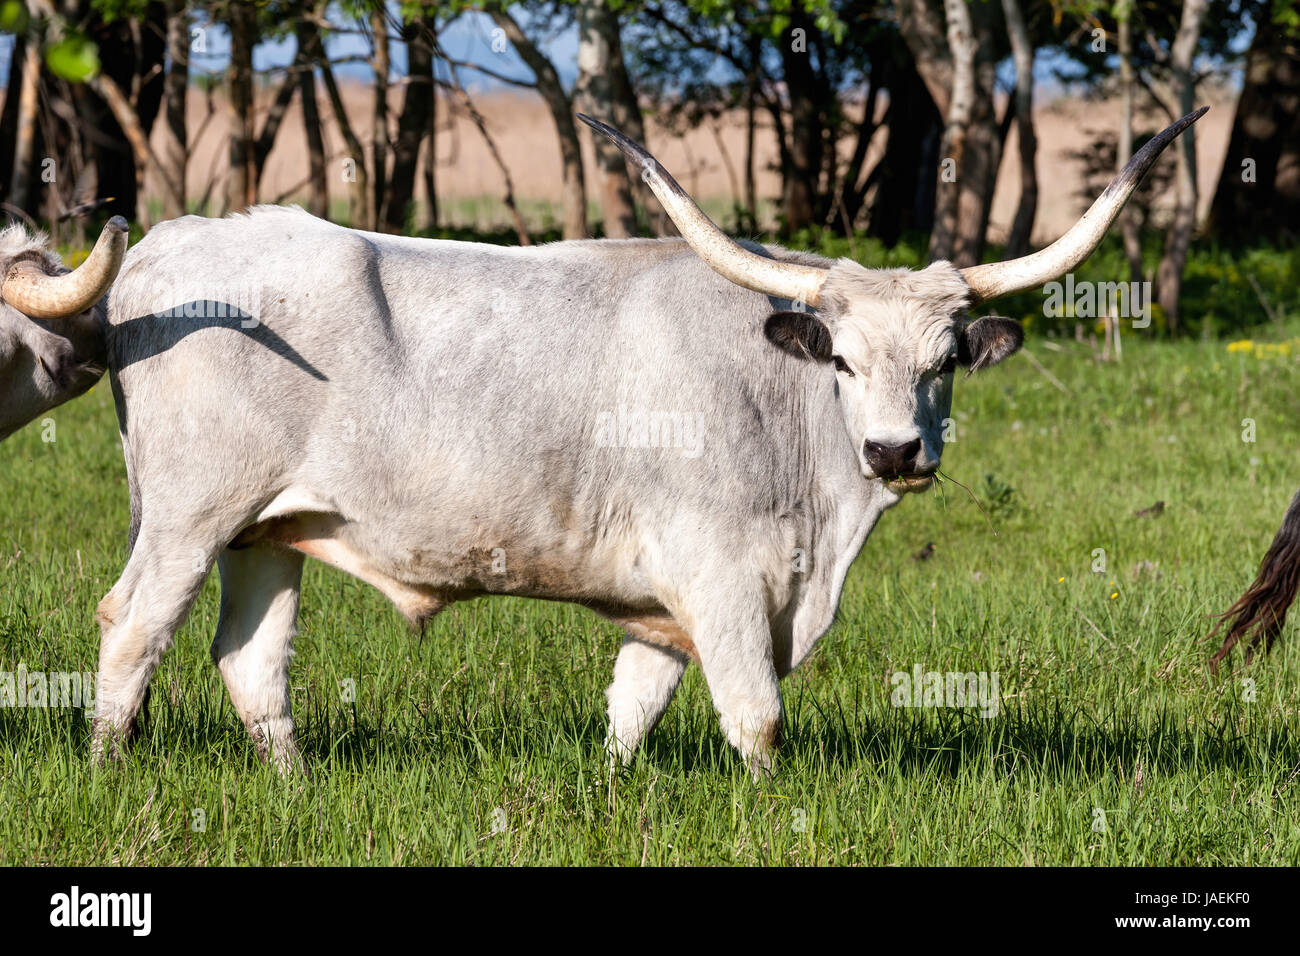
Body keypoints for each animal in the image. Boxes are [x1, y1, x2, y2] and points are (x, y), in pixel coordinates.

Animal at [0, 109, 1206, 775]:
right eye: (844, 361)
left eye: (946, 358)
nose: (896, 452)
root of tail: (174, 248)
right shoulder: (721, 573)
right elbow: (758, 720)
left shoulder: (669, 602)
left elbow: (634, 713)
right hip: (188, 516)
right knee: (132, 627)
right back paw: (110, 766)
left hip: (266, 530)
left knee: (251, 665)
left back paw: (296, 786)